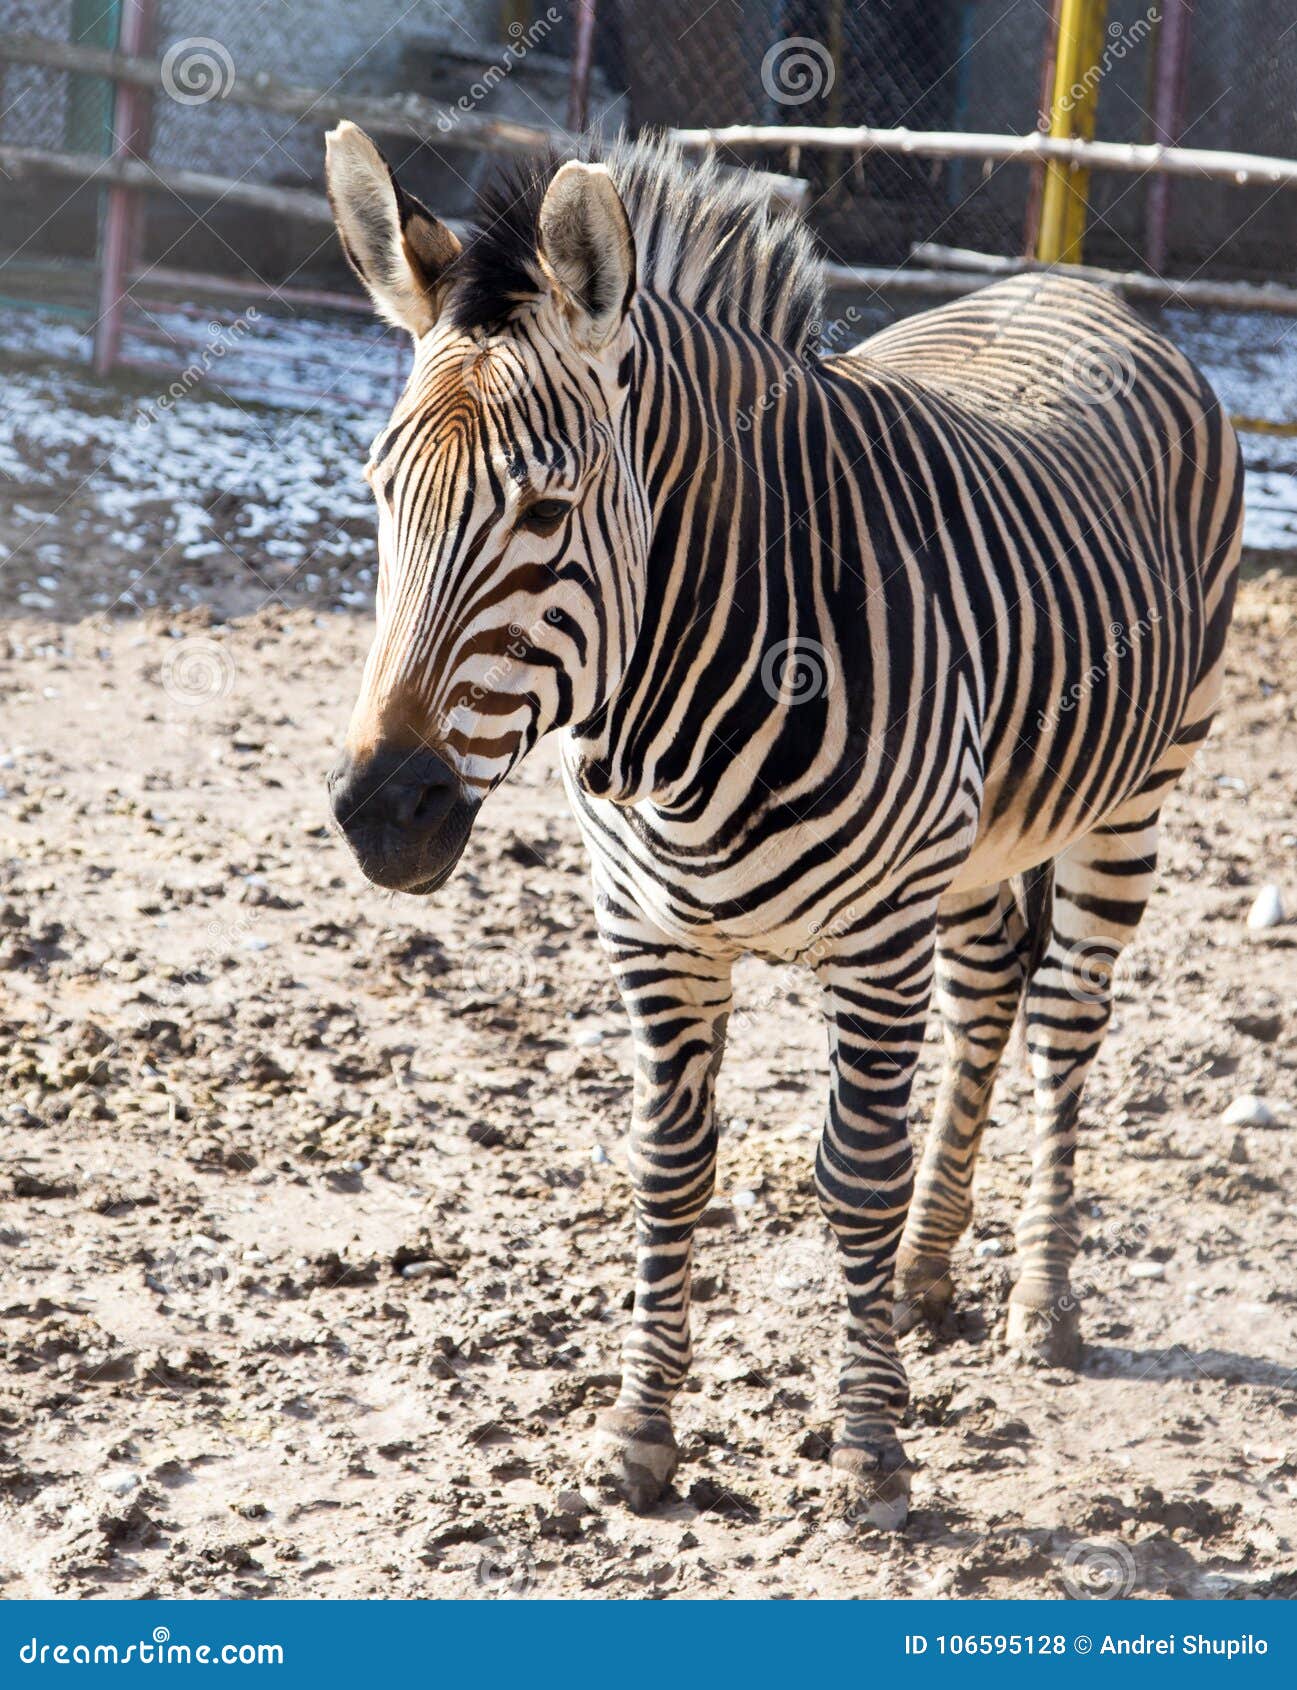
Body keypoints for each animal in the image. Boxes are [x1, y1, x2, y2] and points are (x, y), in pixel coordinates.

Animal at [323, 123, 1242, 1528]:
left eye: (546, 510)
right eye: (381, 491)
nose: (384, 812)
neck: (675, 712)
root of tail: (1069, 283)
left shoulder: (875, 941)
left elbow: (851, 1172)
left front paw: (870, 1451)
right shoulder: (654, 937)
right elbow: (666, 1165)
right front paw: (639, 1437)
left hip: (1133, 792)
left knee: (1067, 1017)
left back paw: (1043, 1303)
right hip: (974, 843)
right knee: (993, 983)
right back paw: (926, 1275)